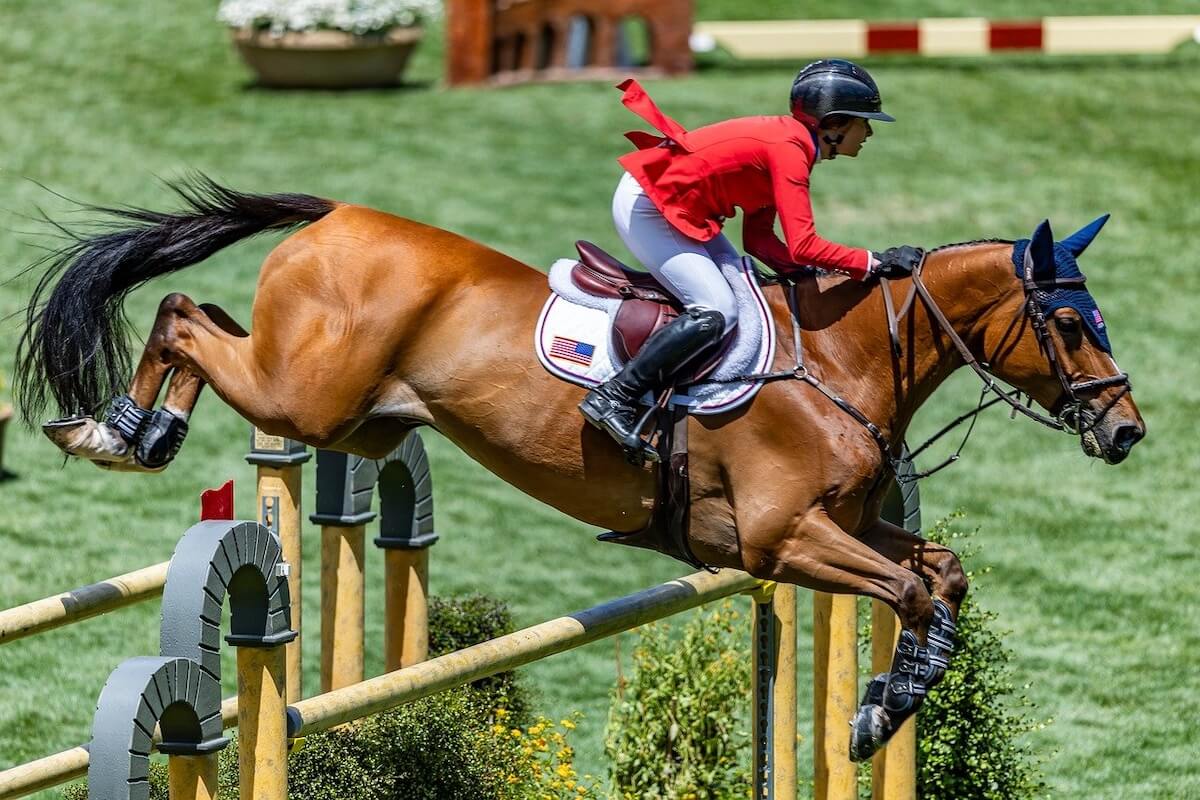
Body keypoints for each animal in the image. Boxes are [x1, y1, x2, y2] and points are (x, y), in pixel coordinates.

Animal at [15, 177, 1144, 758]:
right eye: (1070, 326)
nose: (1127, 430)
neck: (837, 363)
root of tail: (335, 215)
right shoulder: (784, 538)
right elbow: (913, 588)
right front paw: (880, 709)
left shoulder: (842, 528)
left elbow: (938, 573)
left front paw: (887, 696)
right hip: (304, 398)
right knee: (181, 316)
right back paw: (120, 432)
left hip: (356, 416)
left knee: (198, 316)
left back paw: (126, 429)